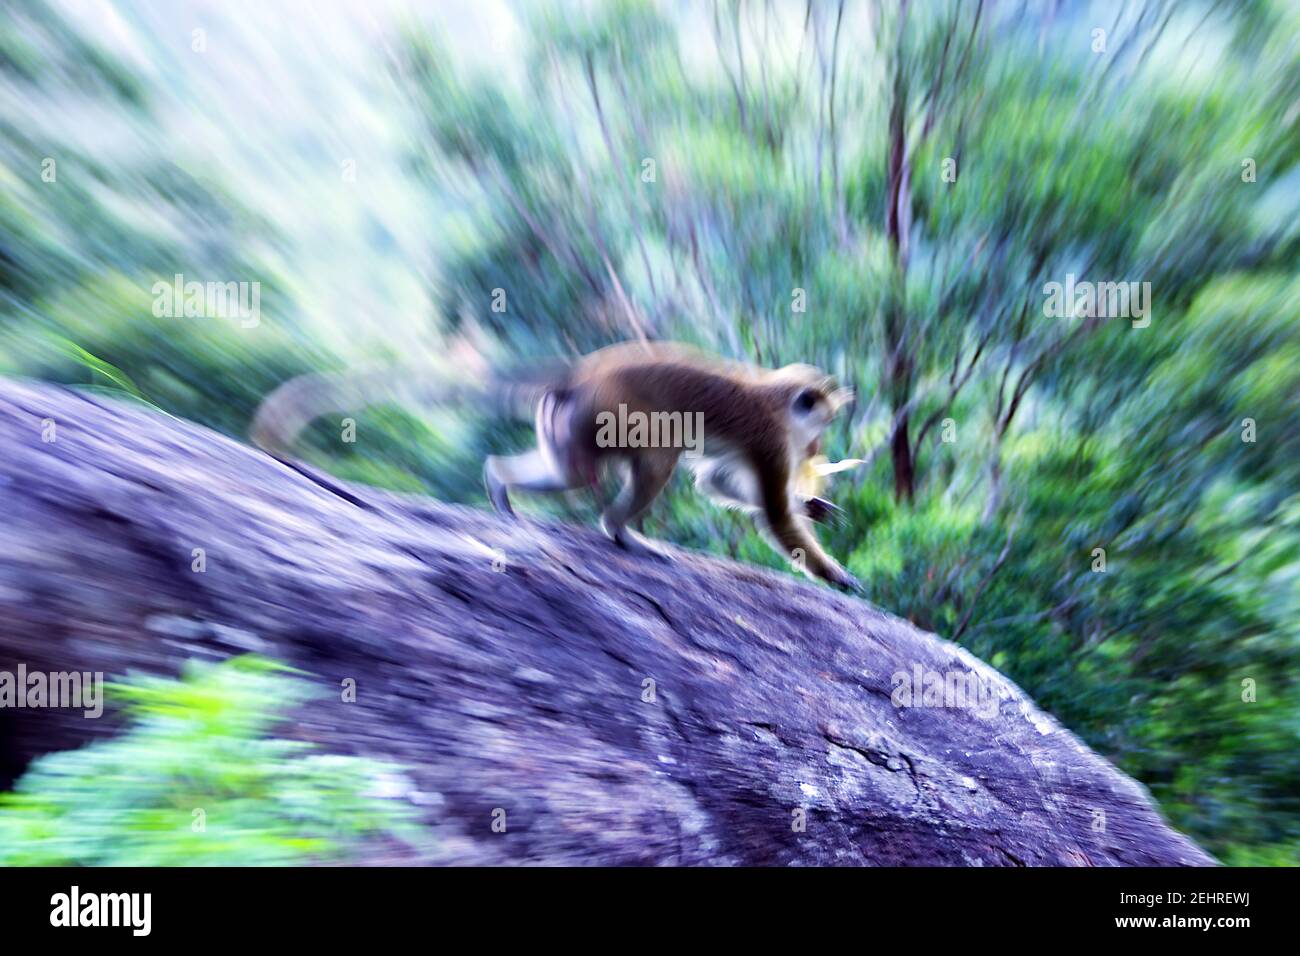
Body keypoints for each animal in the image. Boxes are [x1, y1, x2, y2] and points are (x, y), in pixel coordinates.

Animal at [251, 341, 862, 593]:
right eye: (820, 425)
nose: (816, 448)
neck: (778, 397)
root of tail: (577, 377)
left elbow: (716, 480)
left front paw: (812, 503)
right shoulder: (771, 437)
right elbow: (772, 513)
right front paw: (835, 573)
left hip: (567, 423)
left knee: (569, 469)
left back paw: (499, 481)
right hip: (605, 415)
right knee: (643, 460)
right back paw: (620, 531)